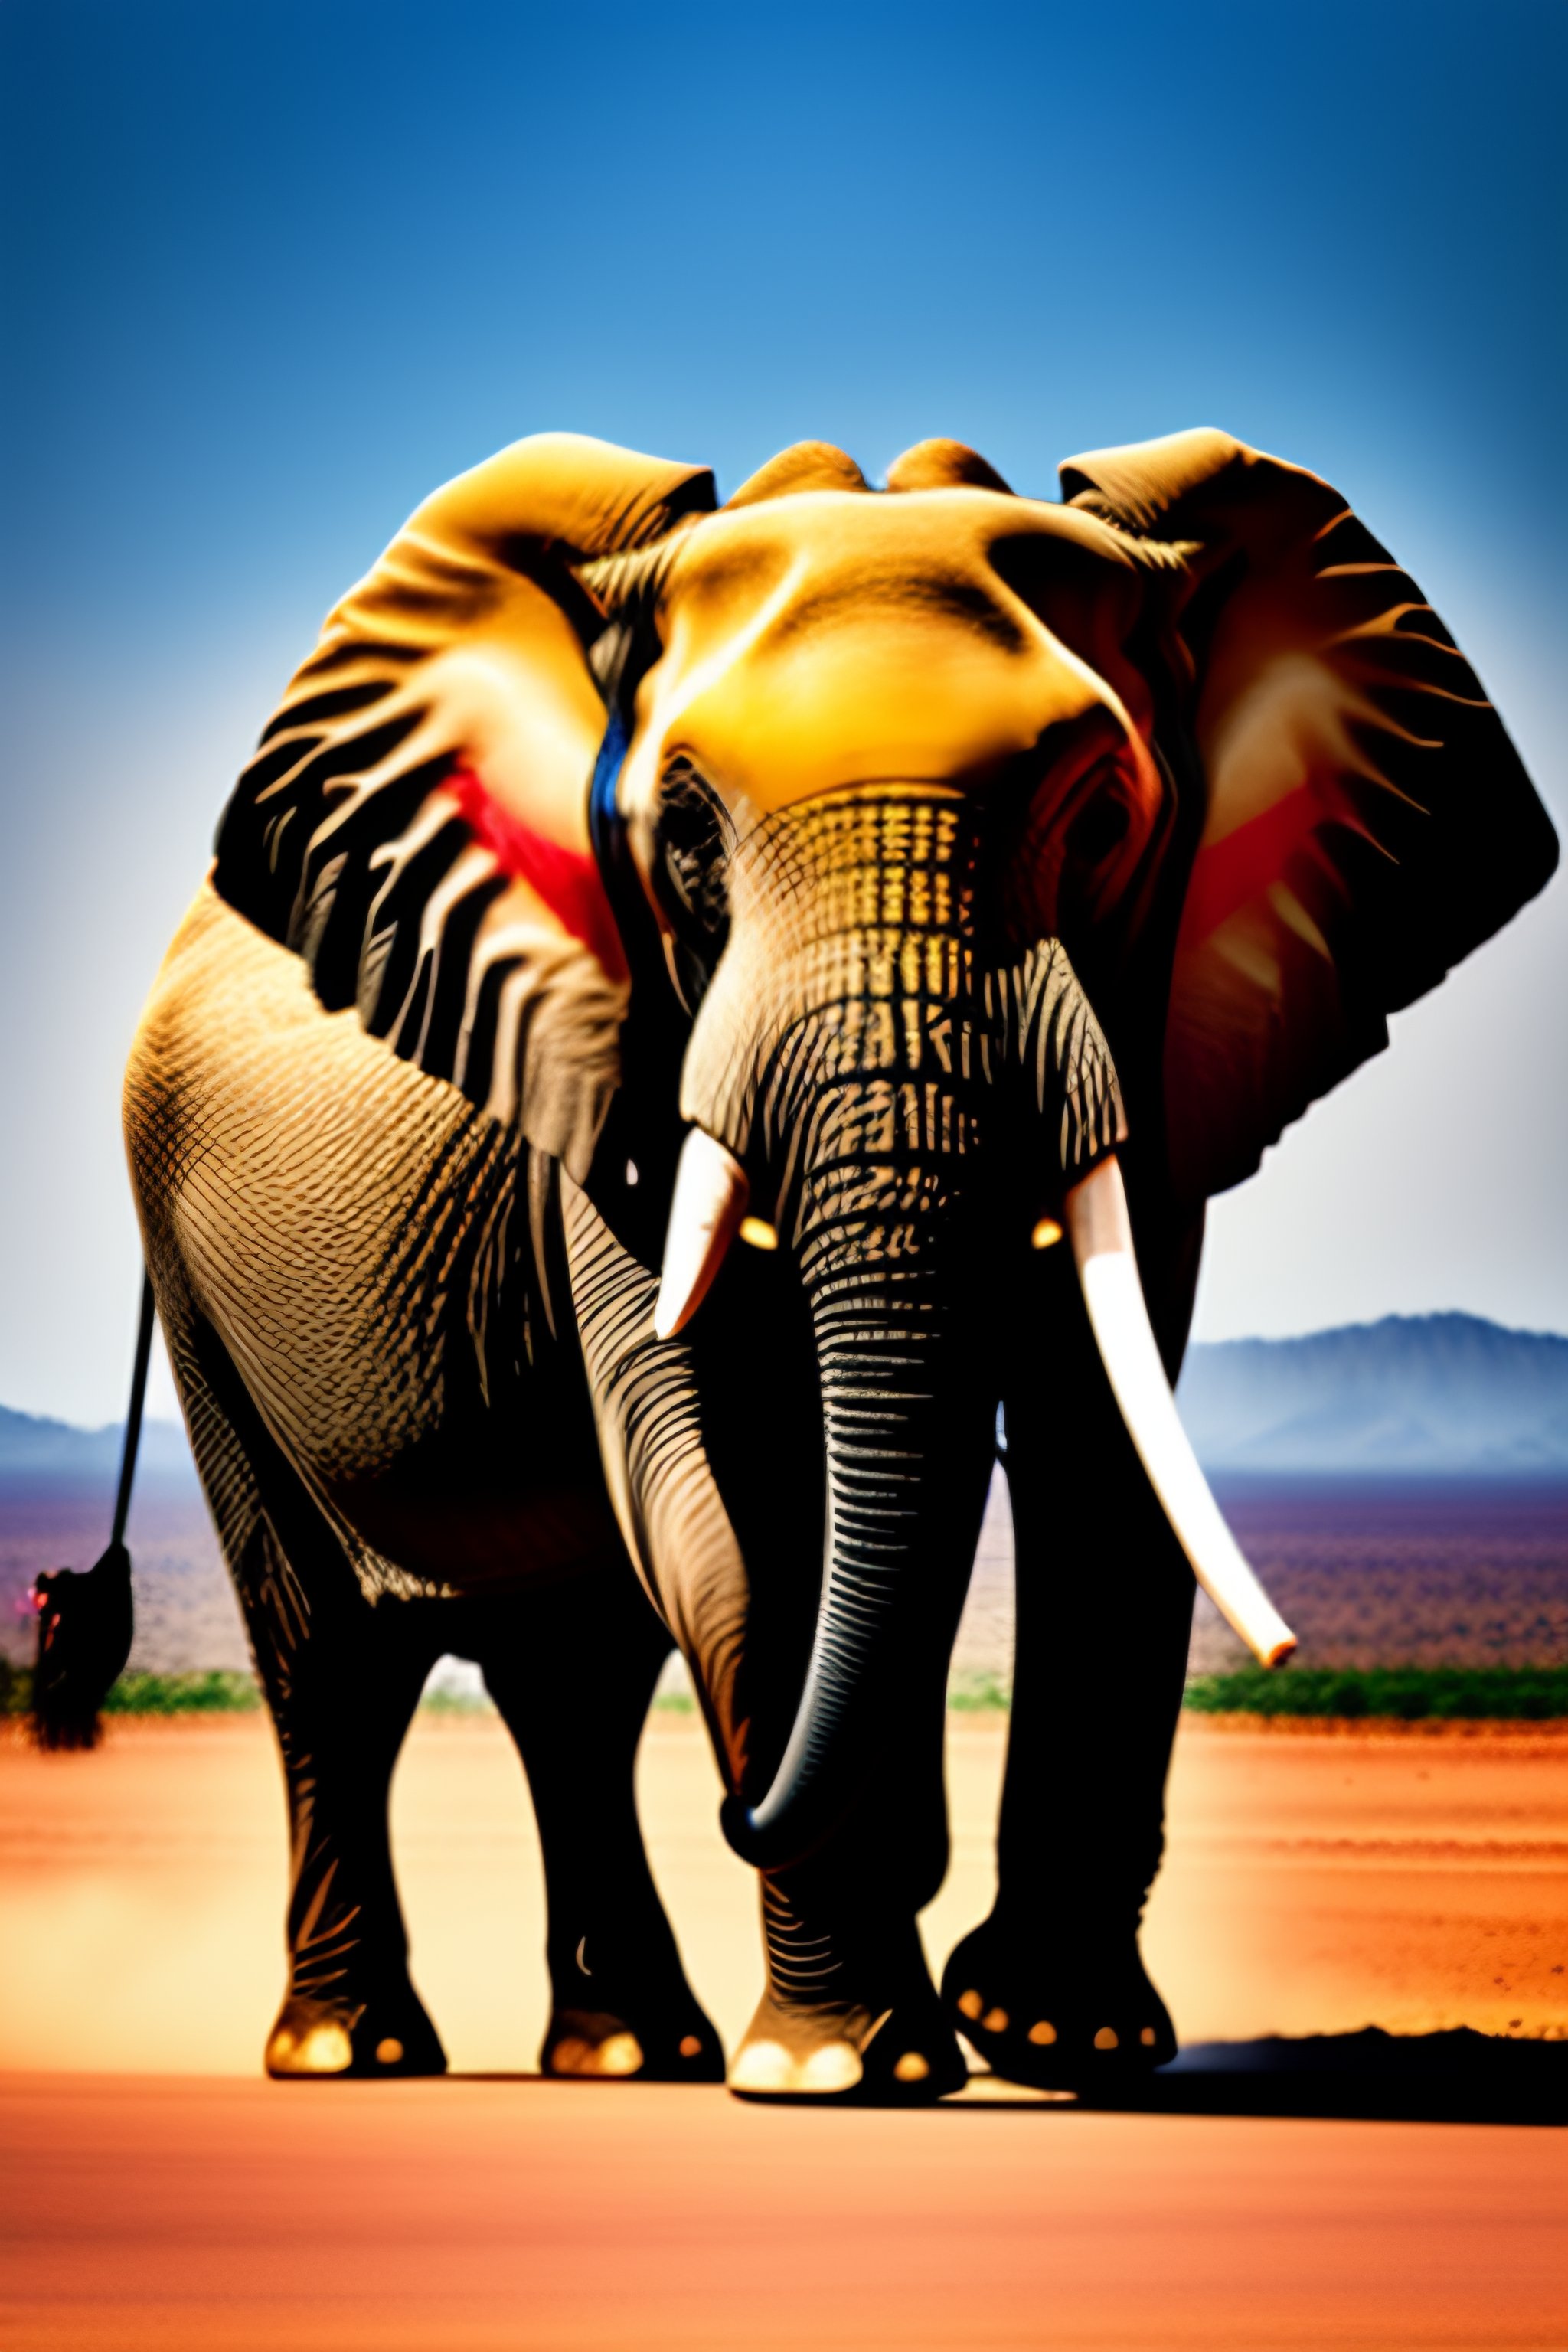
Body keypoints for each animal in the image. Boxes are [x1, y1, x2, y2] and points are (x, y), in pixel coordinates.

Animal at [111, 426, 1552, 2100]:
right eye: (680, 837)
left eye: (1099, 817)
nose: (748, 1806)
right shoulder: (613, 1065)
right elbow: (727, 1485)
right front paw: (850, 2069)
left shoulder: (1159, 1030)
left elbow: (1106, 1456)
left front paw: (1058, 2040)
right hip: (196, 1285)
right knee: (332, 1660)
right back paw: (358, 2051)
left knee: (572, 1676)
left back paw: (631, 2050)